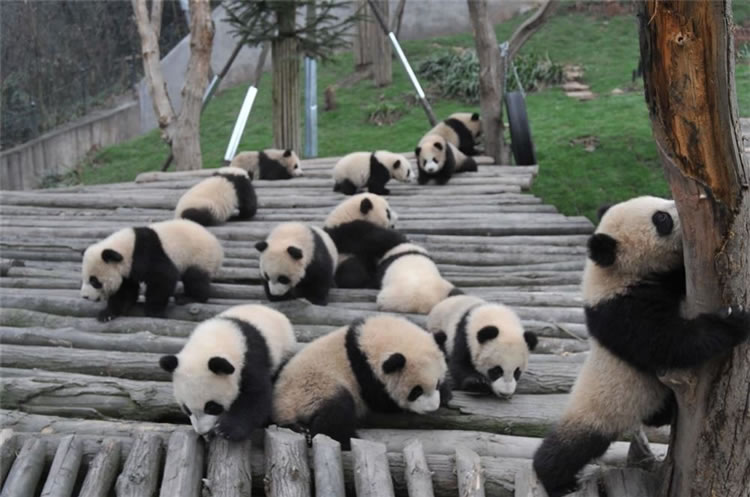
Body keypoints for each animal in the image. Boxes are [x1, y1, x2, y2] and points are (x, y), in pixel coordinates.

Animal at [80, 219, 223, 322]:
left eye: (94, 281)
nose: (85, 296)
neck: (127, 248)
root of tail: (216, 243)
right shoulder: (127, 271)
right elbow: (125, 290)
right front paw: (108, 313)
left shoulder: (147, 253)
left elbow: (164, 277)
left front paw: (153, 311)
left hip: (200, 257)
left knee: (195, 277)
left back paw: (189, 298)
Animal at [159, 304, 297, 441]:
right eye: (187, 409)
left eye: (212, 407)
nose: (203, 431)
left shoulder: (250, 358)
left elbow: (255, 394)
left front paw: (227, 429)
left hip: (284, 351)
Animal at [272, 314, 451, 448]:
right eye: (416, 391)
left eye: (437, 383)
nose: (432, 407)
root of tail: (281, 409)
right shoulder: (367, 376)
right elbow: (382, 402)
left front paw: (446, 393)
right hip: (315, 391)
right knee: (336, 414)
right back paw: (348, 439)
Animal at [532, 196, 750, 497]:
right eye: (662, 219)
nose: (678, 210)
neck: (613, 275)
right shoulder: (621, 310)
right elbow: (668, 343)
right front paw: (733, 320)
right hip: (599, 408)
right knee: (570, 447)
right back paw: (556, 480)